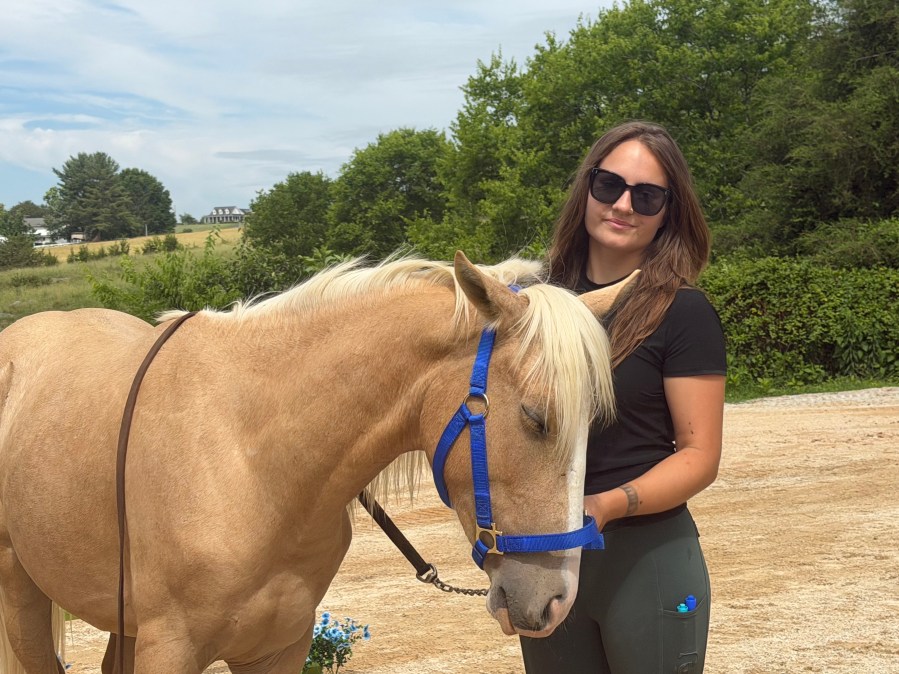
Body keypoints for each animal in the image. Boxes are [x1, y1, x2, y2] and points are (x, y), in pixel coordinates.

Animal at [0, 251, 632, 674]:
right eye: (535, 418)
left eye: (596, 426)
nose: (556, 601)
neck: (254, 461)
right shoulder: (169, 649)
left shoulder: (279, 647)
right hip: (19, 589)